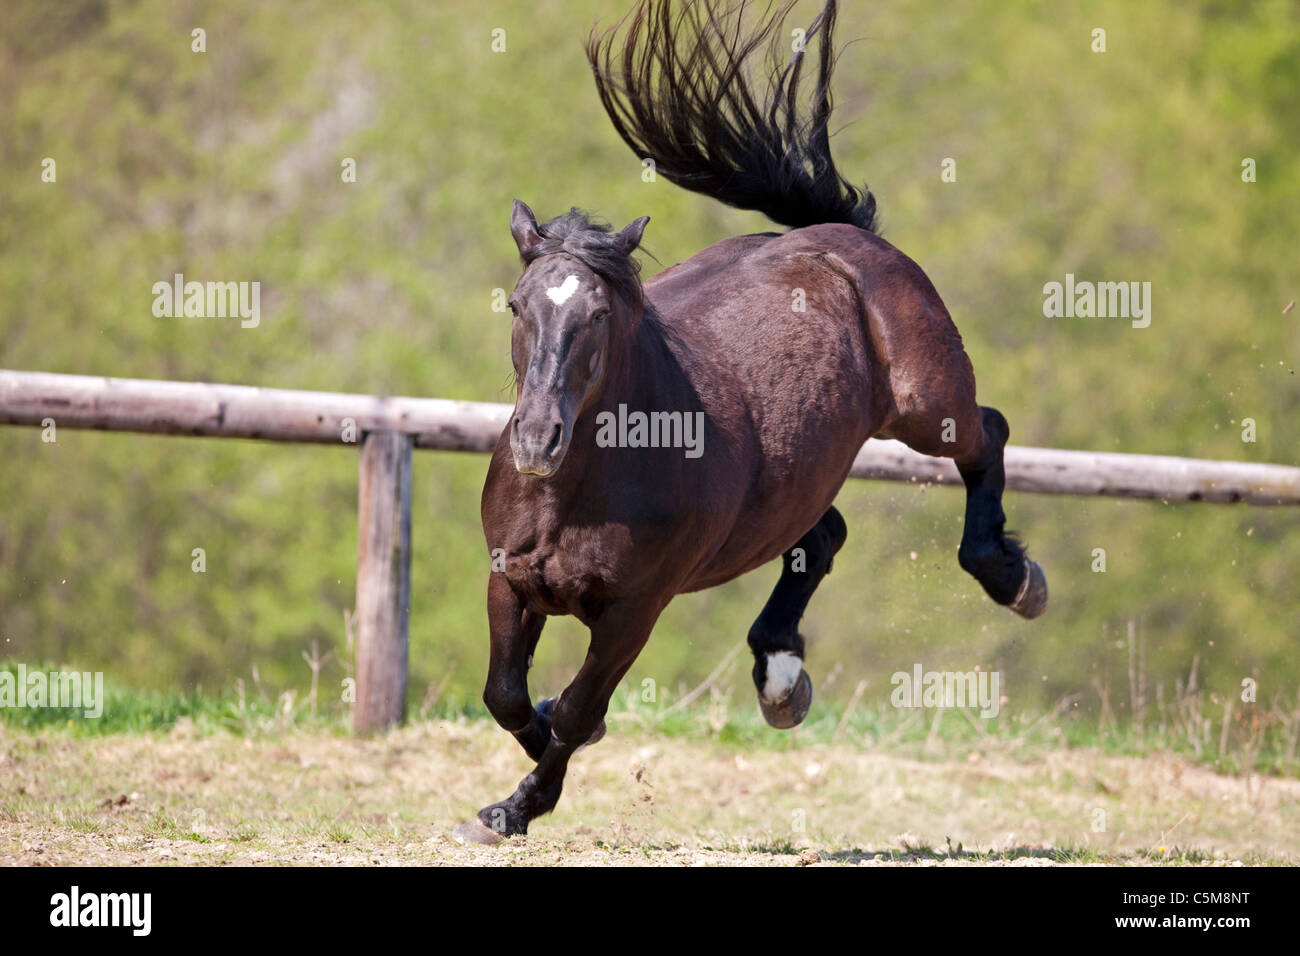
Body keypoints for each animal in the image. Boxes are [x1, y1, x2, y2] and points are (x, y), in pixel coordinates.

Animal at [456, 0, 1047, 844]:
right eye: (516, 306)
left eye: (599, 315)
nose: (538, 440)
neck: (575, 492)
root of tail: (843, 237)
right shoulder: (509, 580)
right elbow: (508, 695)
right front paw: (520, 786)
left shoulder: (635, 610)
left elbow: (574, 709)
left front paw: (522, 801)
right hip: (800, 473)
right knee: (824, 536)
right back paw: (781, 680)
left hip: (924, 405)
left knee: (986, 434)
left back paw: (1011, 576)